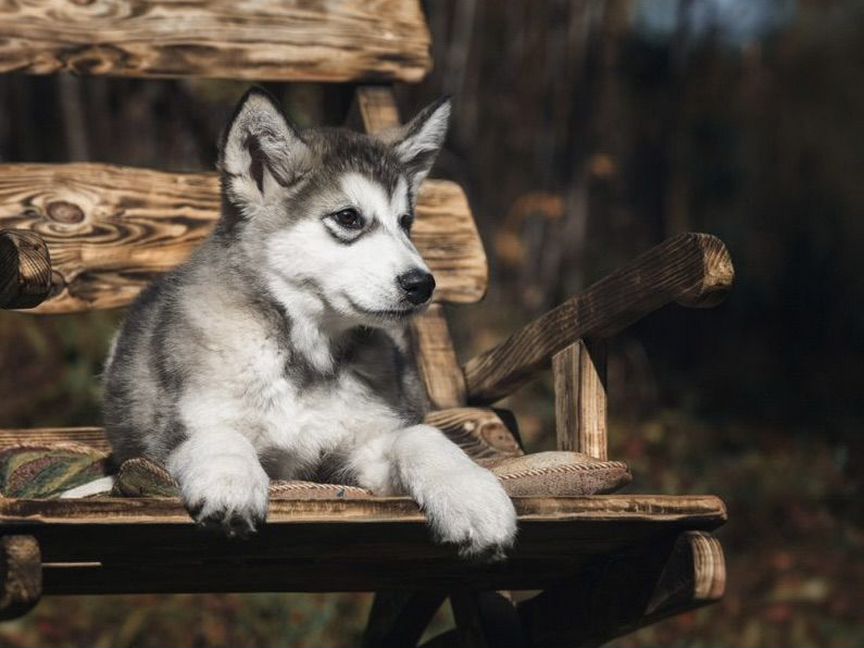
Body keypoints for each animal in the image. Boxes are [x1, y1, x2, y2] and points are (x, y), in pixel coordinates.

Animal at [104, 88, 516, 560]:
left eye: (406, 223)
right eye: (349, 217)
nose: (423, 285)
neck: (304, 354)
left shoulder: (353, 455)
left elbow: (421, 438)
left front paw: (473, 495)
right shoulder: (172, 439)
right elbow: (221, 436)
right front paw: (231, 481)